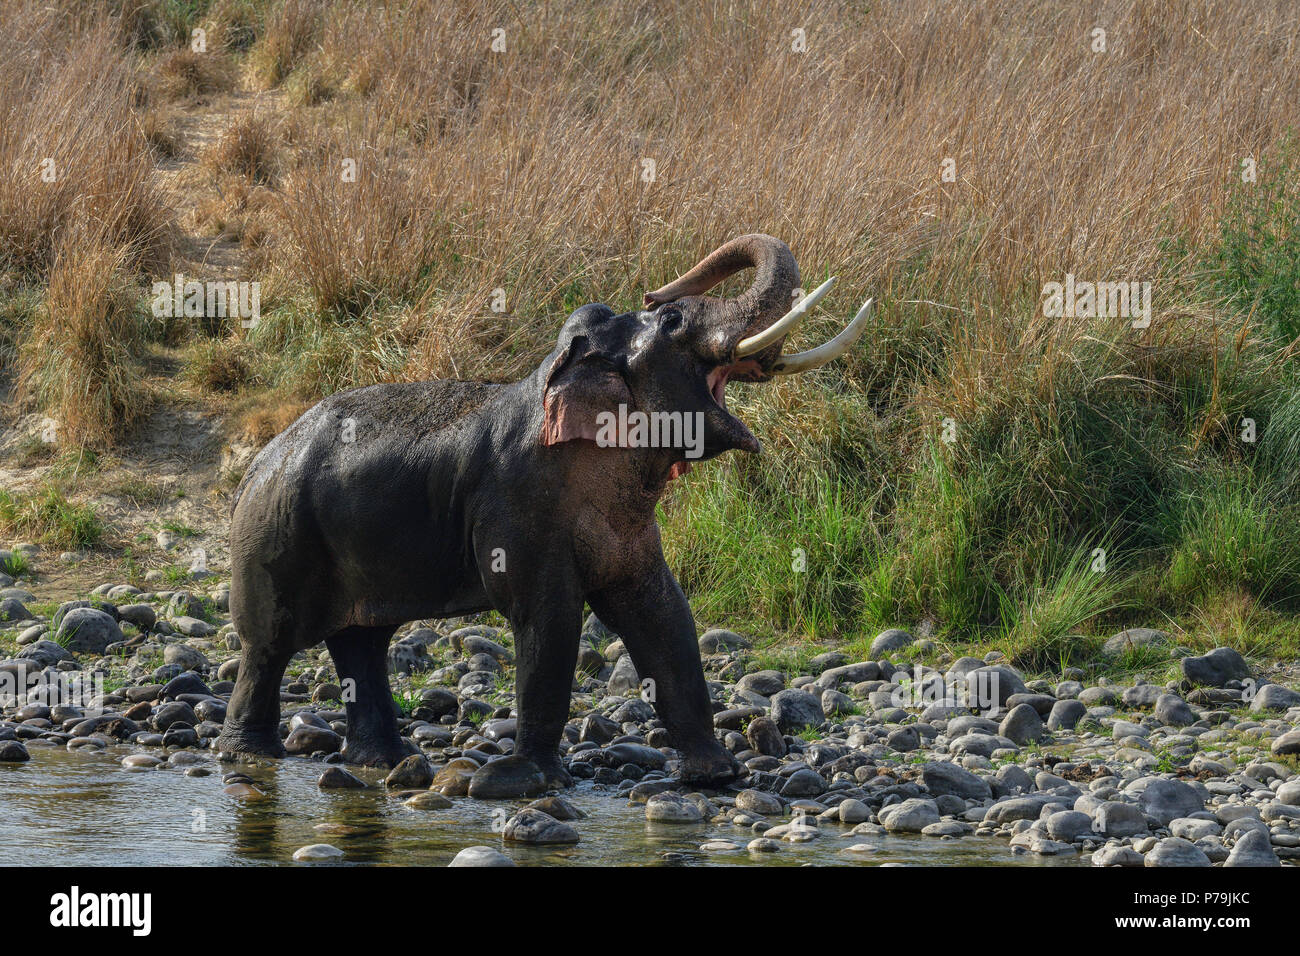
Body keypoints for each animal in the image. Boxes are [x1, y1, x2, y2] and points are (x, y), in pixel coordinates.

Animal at [216, 234, 872, 787]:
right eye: (671, 320)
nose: (654, 292)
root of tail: (255, 463)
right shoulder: (518, 503)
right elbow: (547, 619)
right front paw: (527, 781)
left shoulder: (629, 529)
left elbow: (663, 613)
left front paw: (716, 776)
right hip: (275, 539)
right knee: (269, 645)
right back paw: (250, 758)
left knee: (362, 640)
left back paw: (382, 761)